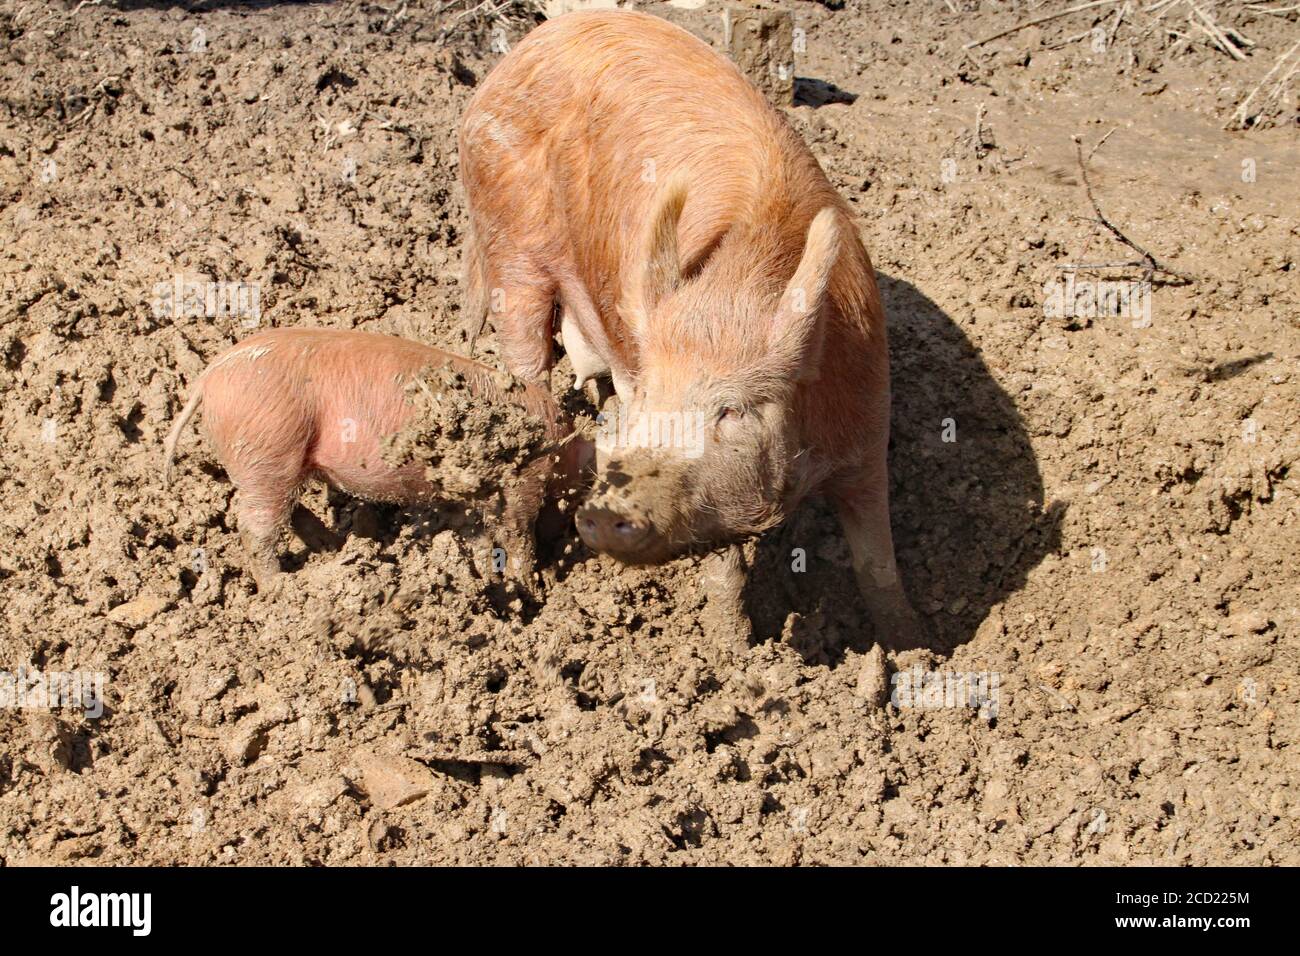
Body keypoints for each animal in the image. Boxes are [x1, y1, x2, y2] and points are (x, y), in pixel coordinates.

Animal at [163, 328, 588, 591]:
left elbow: (482, 537)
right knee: (256, 527)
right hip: (265, 447)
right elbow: (518, 535)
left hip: (279, 459)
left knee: (287, 510)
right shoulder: (523, 482)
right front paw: (529, 587)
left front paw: (489, 580)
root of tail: (207, 379)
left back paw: (331, 548)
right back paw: (279, 588)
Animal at [459, 11, 922, 646]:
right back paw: (528, 586)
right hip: (510, 247)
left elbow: (880, 565)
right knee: (531, 387)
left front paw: (913, 646)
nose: (602, 513)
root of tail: (520, 51)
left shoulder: (868, 425)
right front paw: (736, 649)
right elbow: (726, 573)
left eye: (731, 409)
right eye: (653, 397)